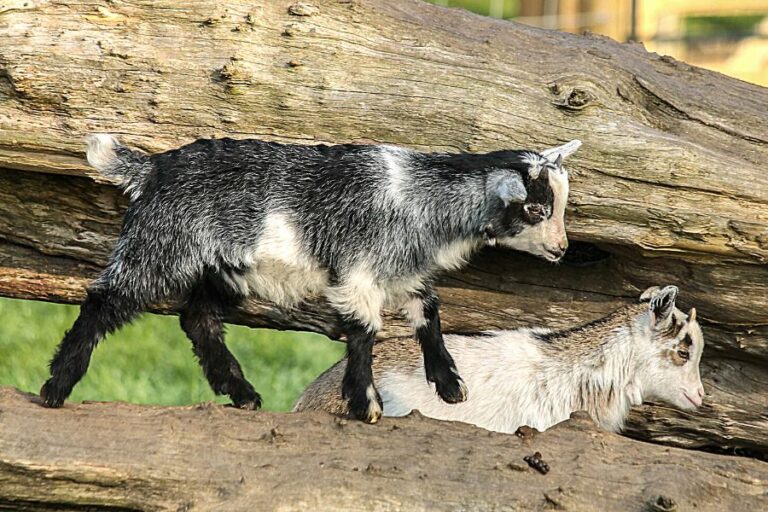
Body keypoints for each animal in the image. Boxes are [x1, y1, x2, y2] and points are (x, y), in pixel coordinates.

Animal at [40, 135, 581, 423]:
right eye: (536, 209)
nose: (561, 249)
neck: (419, 200)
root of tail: (152, 168)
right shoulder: (358, 272)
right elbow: (365, 331)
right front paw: (366, 405)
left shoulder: (402, 271)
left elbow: (428, 314)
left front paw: (449, 386)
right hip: (160, 247)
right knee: (105, 301)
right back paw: (56, 388)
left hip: (225, 268)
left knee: (198, 320)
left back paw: (243, 394)